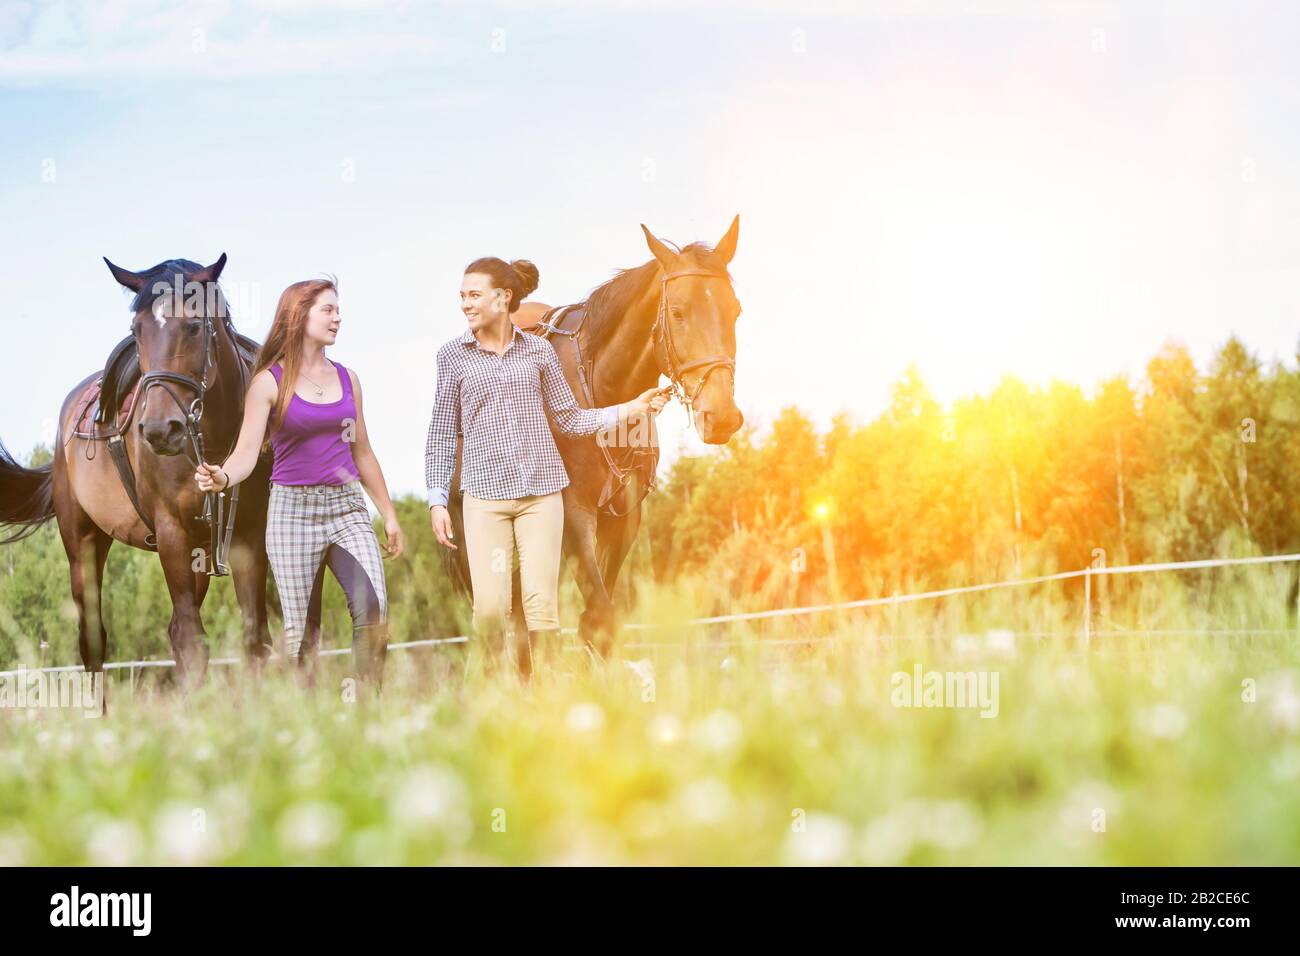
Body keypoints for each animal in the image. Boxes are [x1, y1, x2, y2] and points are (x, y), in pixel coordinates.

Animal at [0, 254, 272, 705]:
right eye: (136, 330)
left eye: (194, 326)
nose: (161, 430)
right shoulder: (171, 532)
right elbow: (192, 642)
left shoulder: (248, 537)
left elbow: (254, 639)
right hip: (83, 543)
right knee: (94, 641)